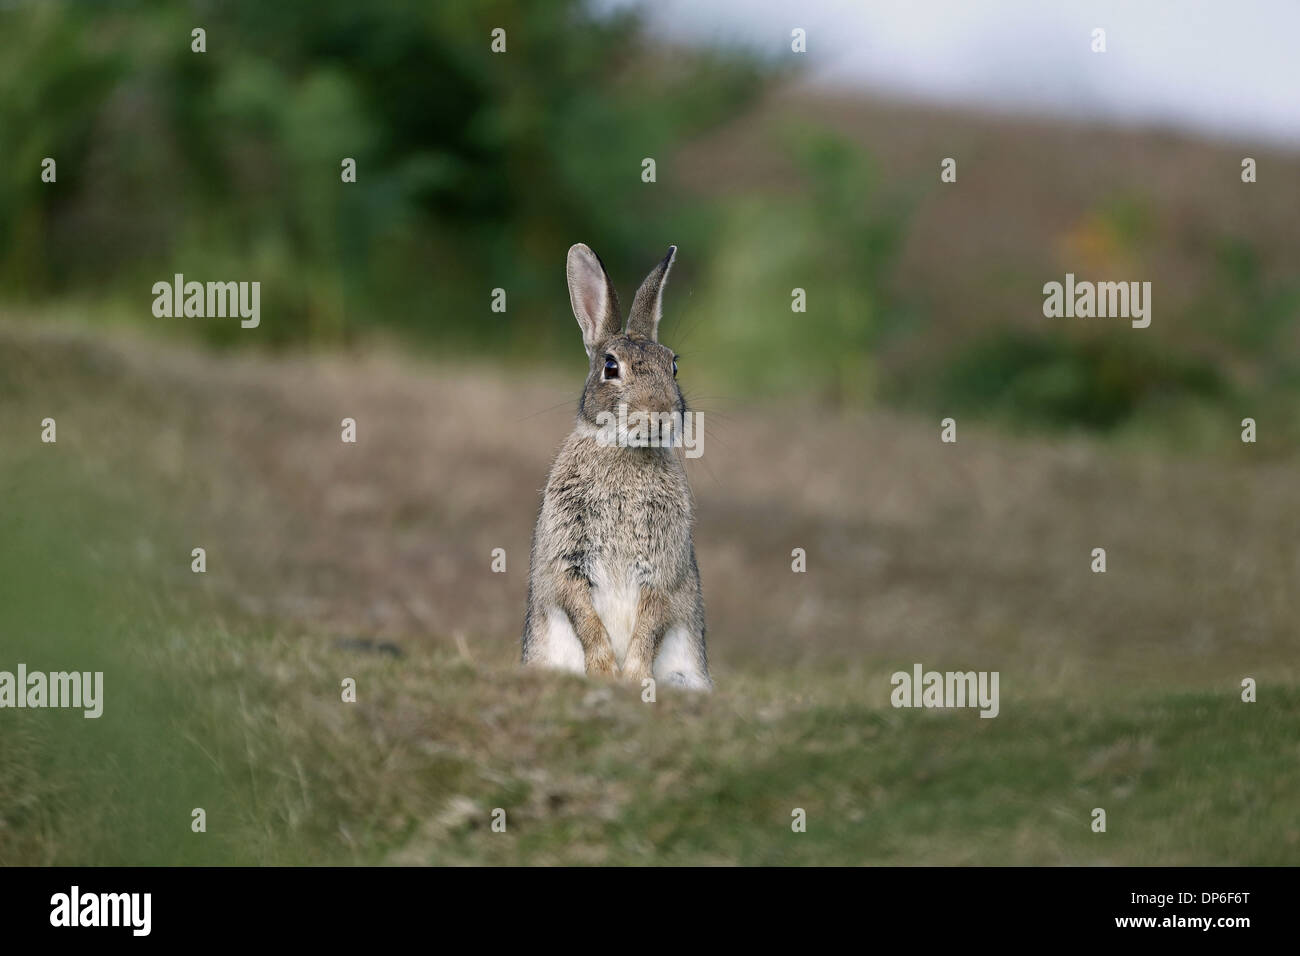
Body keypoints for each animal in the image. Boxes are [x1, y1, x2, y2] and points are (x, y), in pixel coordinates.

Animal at [520, 243, 711, 691]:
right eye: (611, 367)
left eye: (673, 365)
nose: (660, 412)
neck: (625, 450)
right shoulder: (567, 558)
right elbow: (582, 612)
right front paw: (606, 671)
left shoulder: (664, 568)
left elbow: (652, 620)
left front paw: (635, 676)